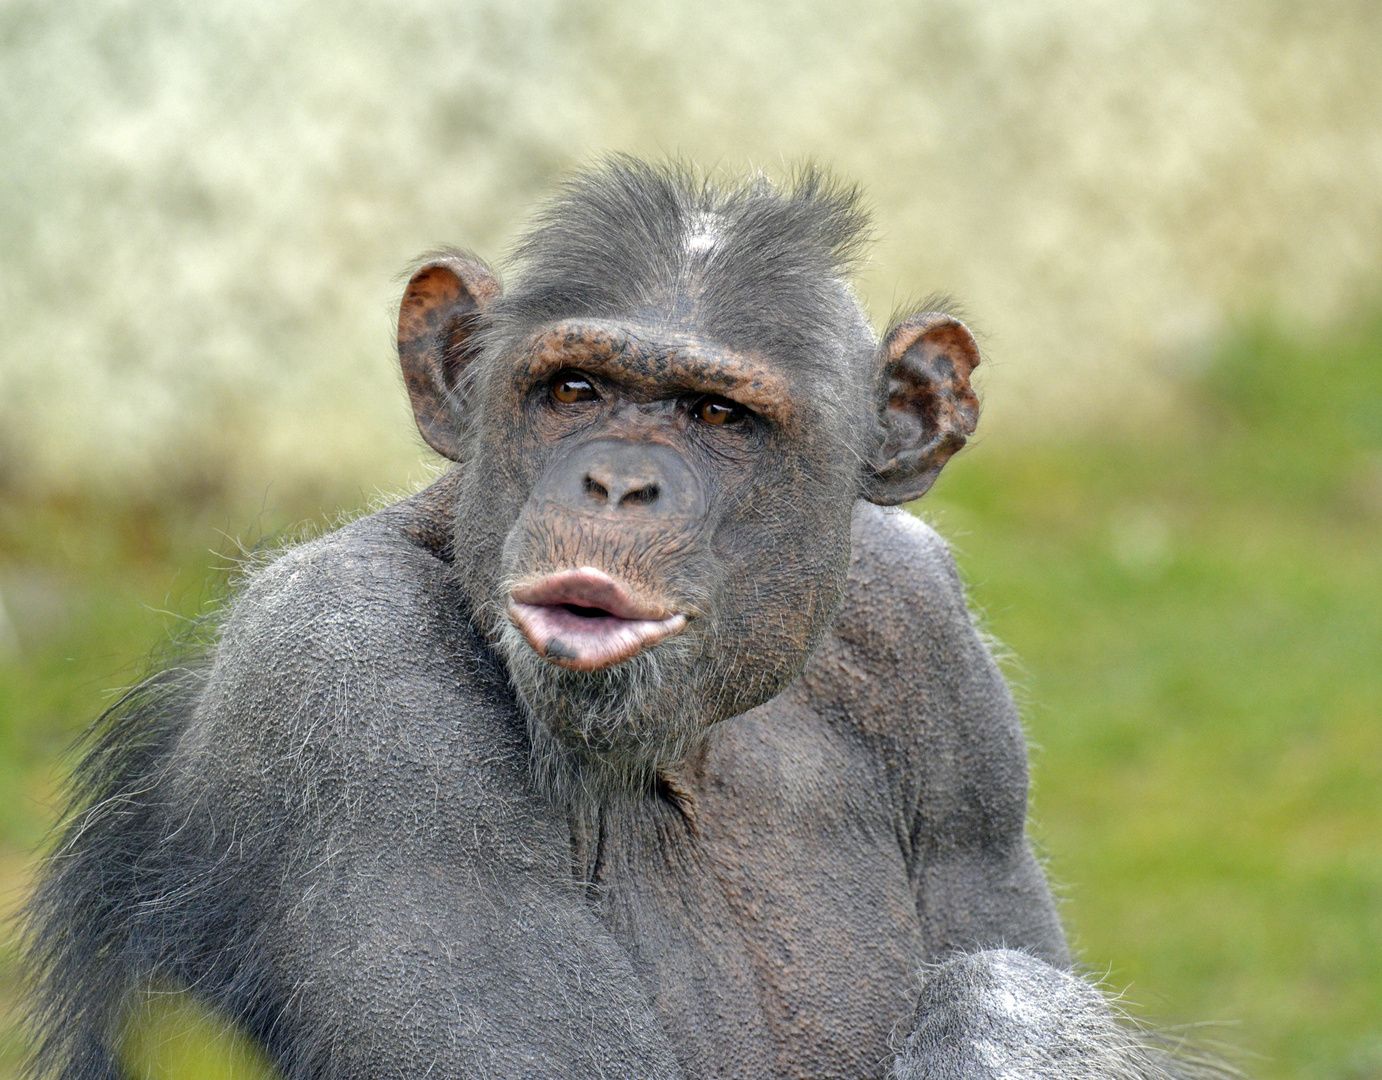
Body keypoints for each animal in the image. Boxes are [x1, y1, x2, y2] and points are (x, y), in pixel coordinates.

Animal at [26, 160, 1205, 1078]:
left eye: (716, 413)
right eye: (574, 389)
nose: (617, 484)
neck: (688, 745)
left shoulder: (936, 664)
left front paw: (1019, 1026)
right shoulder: (345, 688)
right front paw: (1007, 1032)